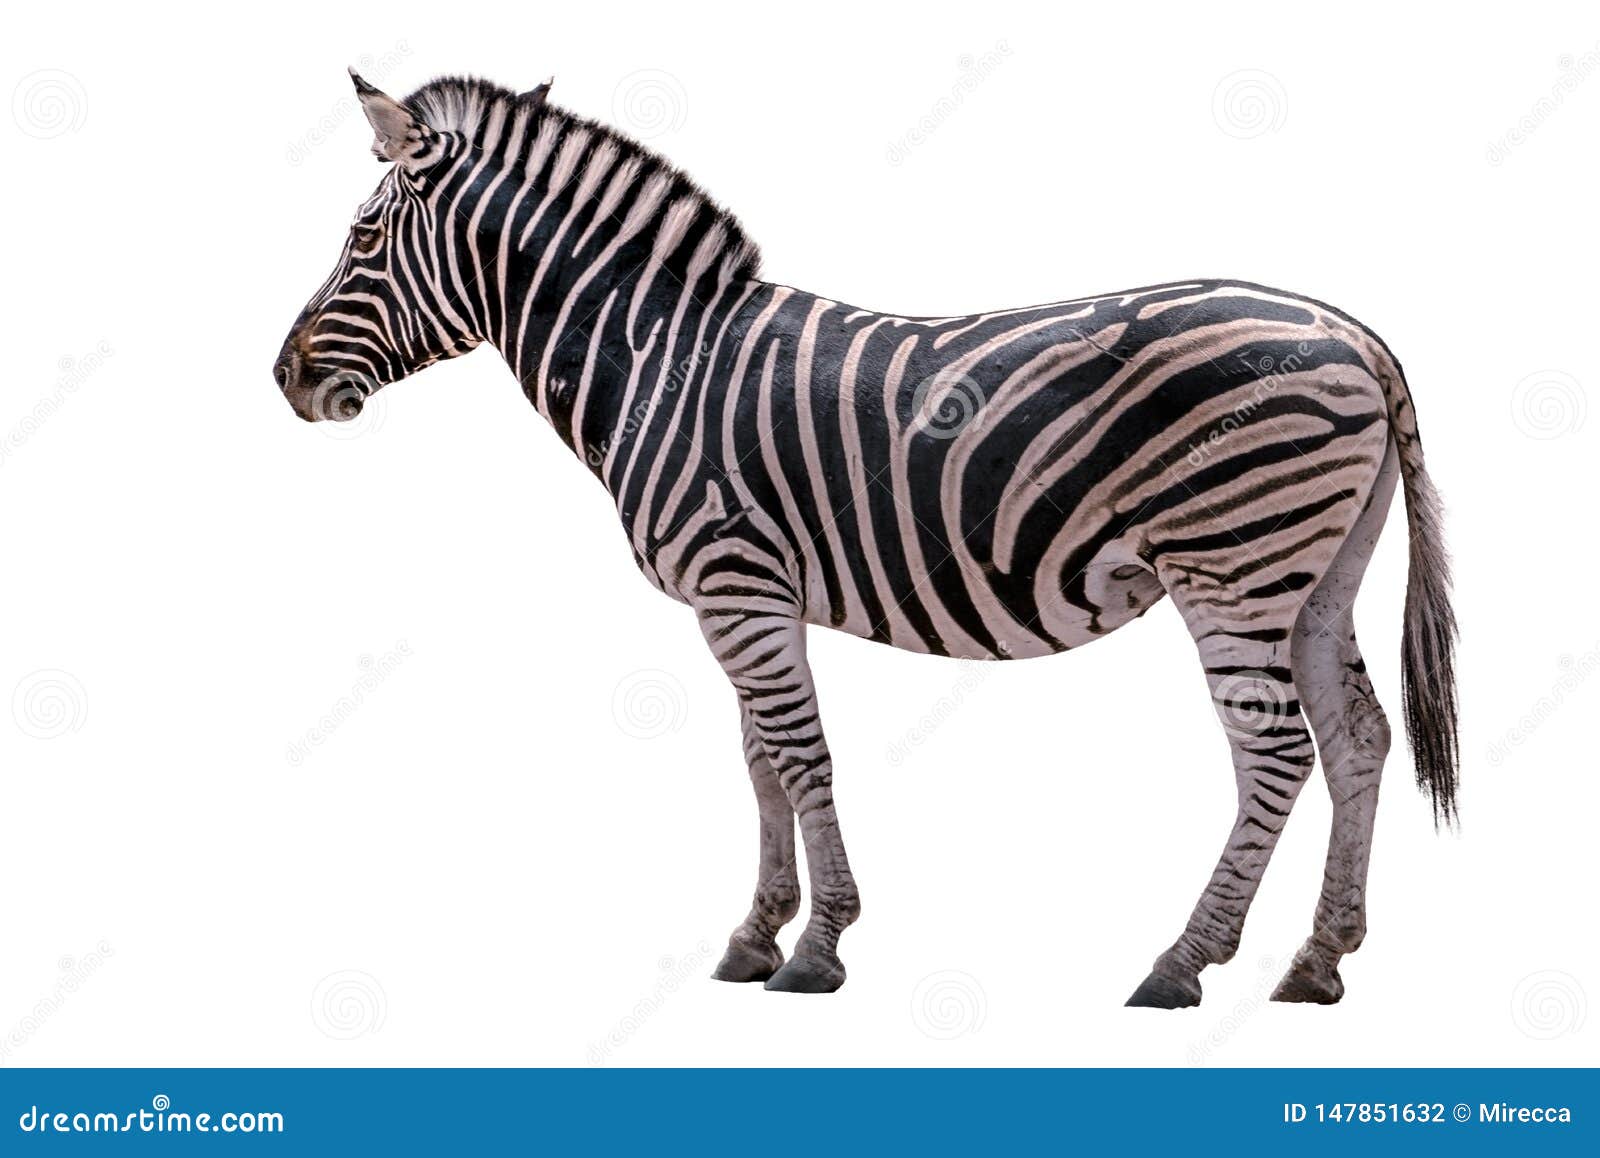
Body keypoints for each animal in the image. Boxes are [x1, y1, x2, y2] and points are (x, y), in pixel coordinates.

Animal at [274, 71, 1458, 1006]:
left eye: (362, 237)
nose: (286, 378)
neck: (657, 360)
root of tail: (1351, 330)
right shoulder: (741, 599)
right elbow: (757, 759)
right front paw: (755, 936)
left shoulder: (738, 582)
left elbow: (799, 754)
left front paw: (818, 947)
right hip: (1315, 575)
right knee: (1358, 739)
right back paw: (1317, 963)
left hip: (1232, 562)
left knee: (1275, 751)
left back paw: (1181, 963)